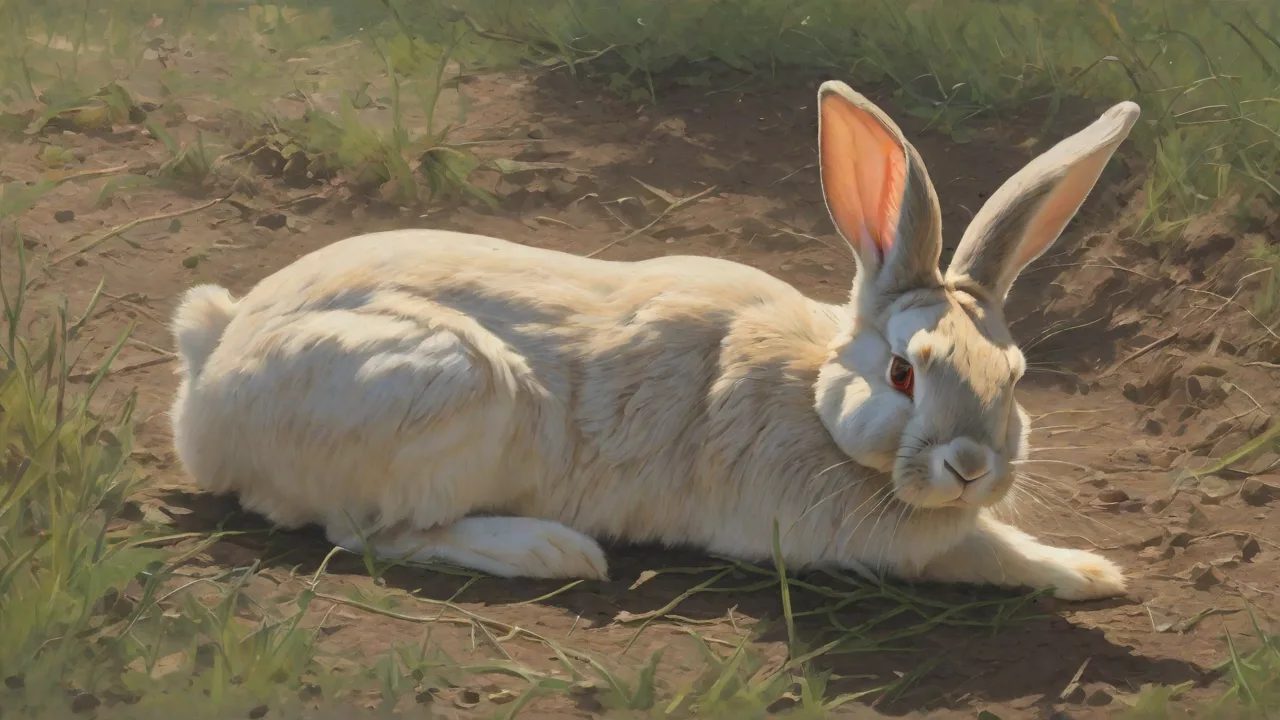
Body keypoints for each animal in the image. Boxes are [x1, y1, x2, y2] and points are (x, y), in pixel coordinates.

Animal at [168, 80, 1139, 600]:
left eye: (1015, 375)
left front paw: (1094, 573)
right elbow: (985, 551)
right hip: (449, 385)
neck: (812, 402)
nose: (971, 466)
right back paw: (555, 552)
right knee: (365, 533)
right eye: (904, 372)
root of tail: (210, 371)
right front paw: (1092, 573)